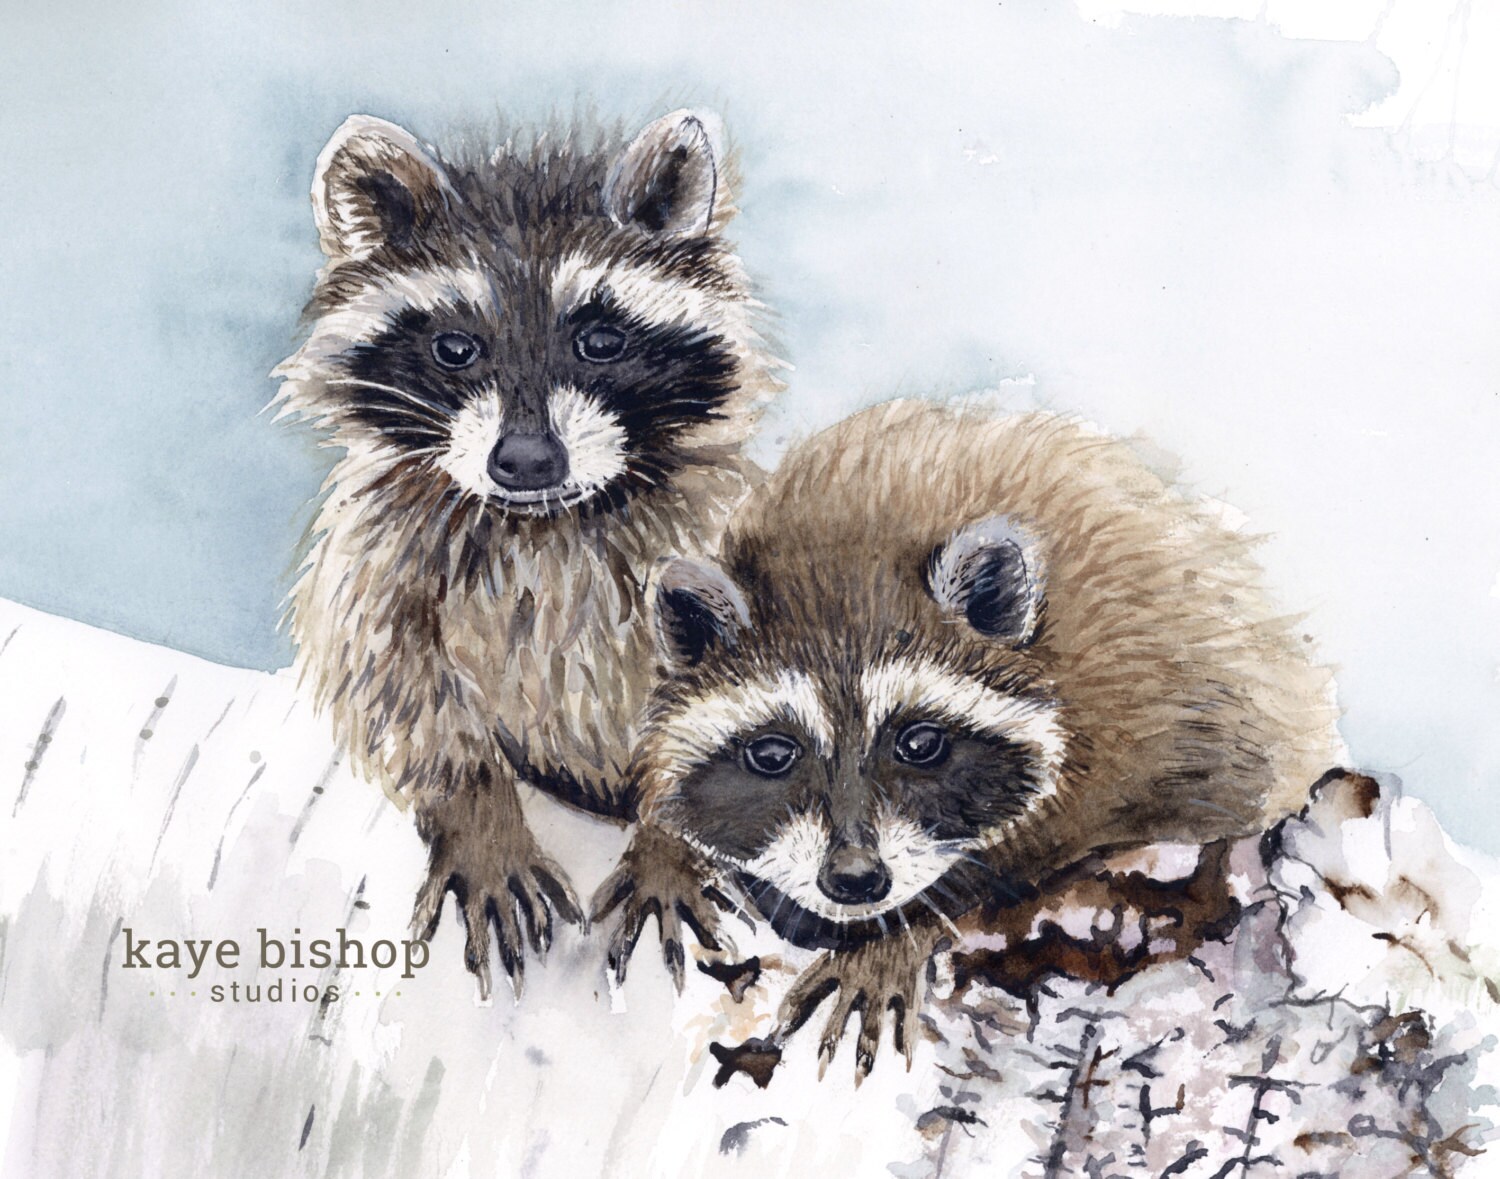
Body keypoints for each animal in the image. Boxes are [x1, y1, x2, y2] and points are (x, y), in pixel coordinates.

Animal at [272, 109, 780, 995]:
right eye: (455, 348)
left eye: (601, 339)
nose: (529, 459)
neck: (543, 520)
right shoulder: (381, 554)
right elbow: (393, 679)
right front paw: (479, 813)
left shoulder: (709, 541)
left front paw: (670, 843)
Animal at [618, 400, 1339, 1072]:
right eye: (773, 753)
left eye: (920, 743)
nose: (855, 880)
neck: (846, 555)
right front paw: (663, 847)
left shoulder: (1162, 703)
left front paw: (904, 928)